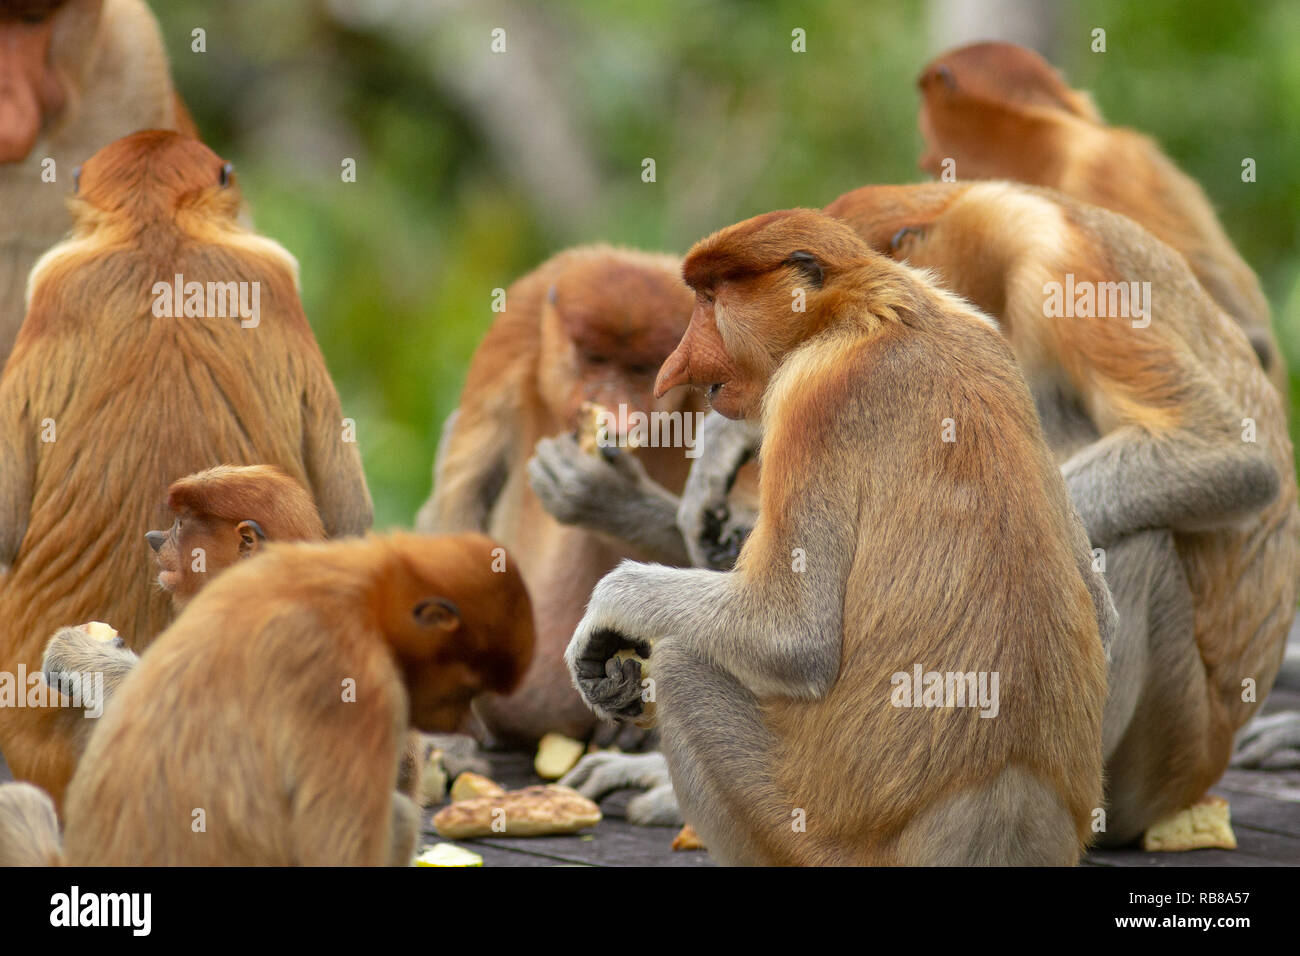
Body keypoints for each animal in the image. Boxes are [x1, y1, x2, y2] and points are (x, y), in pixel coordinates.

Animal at [415, 245, 708, 747]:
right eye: (593, 358)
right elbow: (461, 493)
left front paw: (602, 495)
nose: (613, 407)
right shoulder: (514, 336)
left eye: (640, 370)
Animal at [564, 208, 1111, 865]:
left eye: (711, 299)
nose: (677, 368)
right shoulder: (987, 334)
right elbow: (1100, 605)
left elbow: (793, 634)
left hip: (808, 834)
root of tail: (999, 814)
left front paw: (604, 617)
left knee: (684, 667)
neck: (866, 309)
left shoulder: (810, 399)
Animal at [646, 181, 1297, 848]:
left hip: (1173, 747)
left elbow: (1230, 454)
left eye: (710, 303)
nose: (681, 366)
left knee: (1140, 541)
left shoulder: (1064, 271)